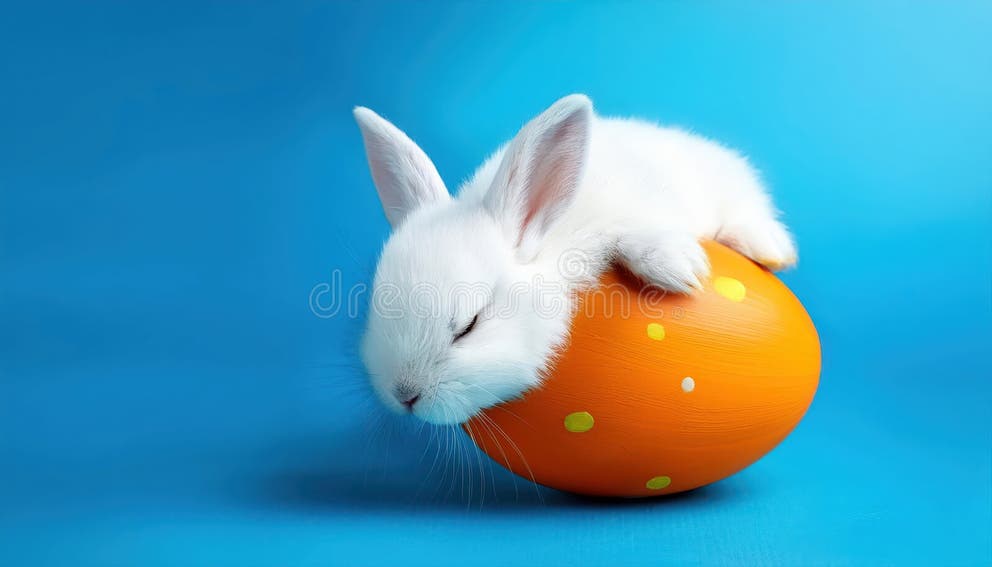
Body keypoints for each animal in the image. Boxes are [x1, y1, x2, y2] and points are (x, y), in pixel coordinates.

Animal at [354, 94, 796, 425]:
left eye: (469, 326)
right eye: (377, 305)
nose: (404, 394)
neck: (552, 238)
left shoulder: (627, 210)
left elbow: (636, 230)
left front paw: (680, 267)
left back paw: (768, 247)